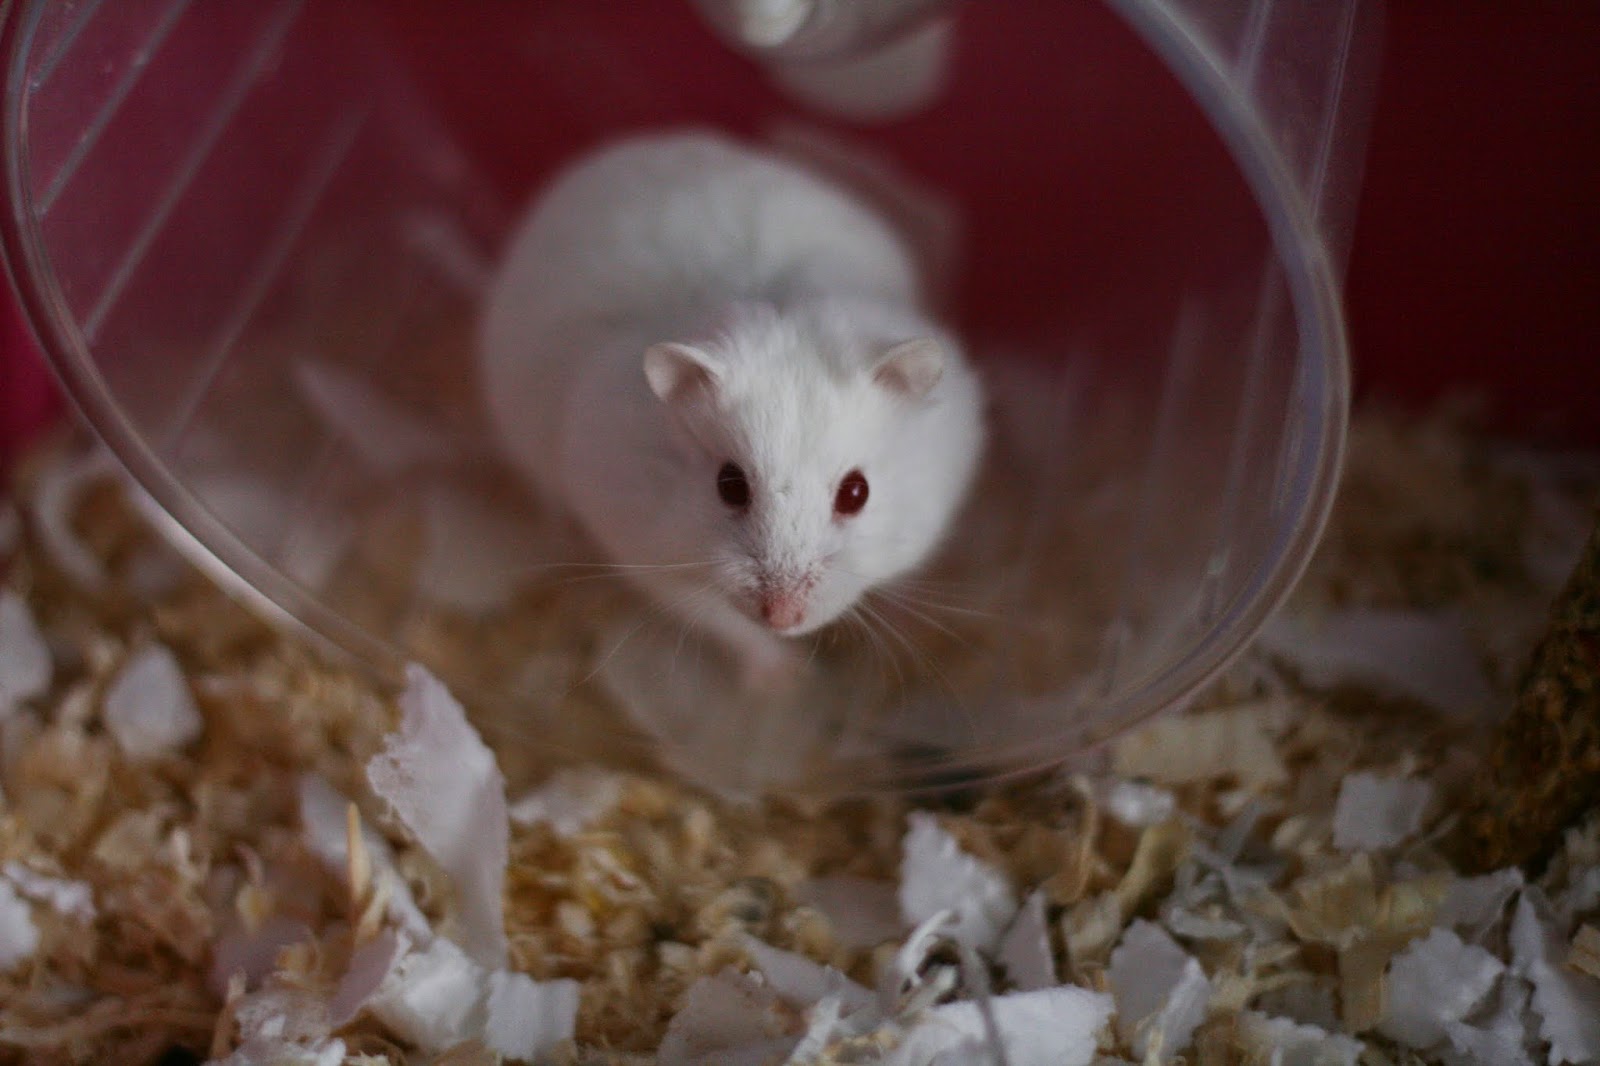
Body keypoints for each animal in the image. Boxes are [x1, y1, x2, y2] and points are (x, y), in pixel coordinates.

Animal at [479, 131, 984, 683]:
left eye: (857, 492)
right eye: (729, 485)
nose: (782, 618)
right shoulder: (649, 553)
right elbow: (722, 622)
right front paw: (789, 681)